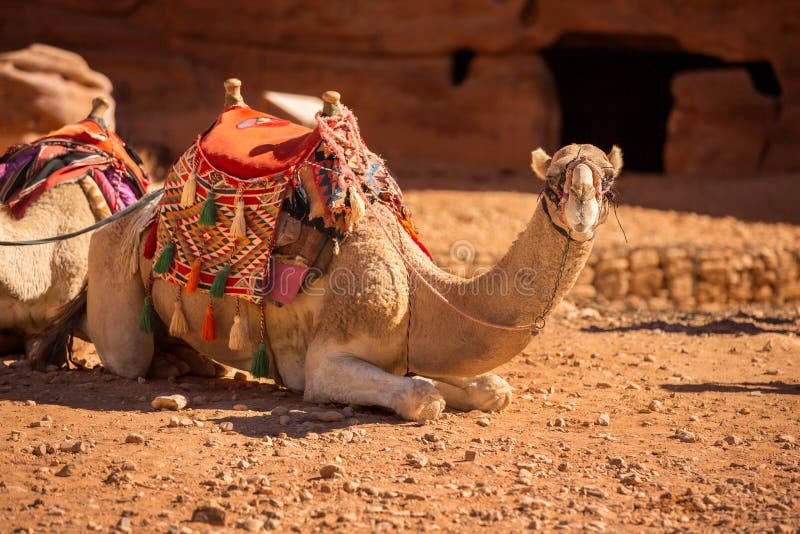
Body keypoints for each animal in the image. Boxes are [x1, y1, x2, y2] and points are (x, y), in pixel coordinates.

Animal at [44, 89, 623, 421]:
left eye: (608, 182)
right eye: (554, 182)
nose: (581, 212)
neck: (422, 292)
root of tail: (132, 209)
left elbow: (491, 388)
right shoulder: (325, 361)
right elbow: (421, 396)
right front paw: (430, 391)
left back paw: (187, 362)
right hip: (113, 276)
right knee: (117, 348)